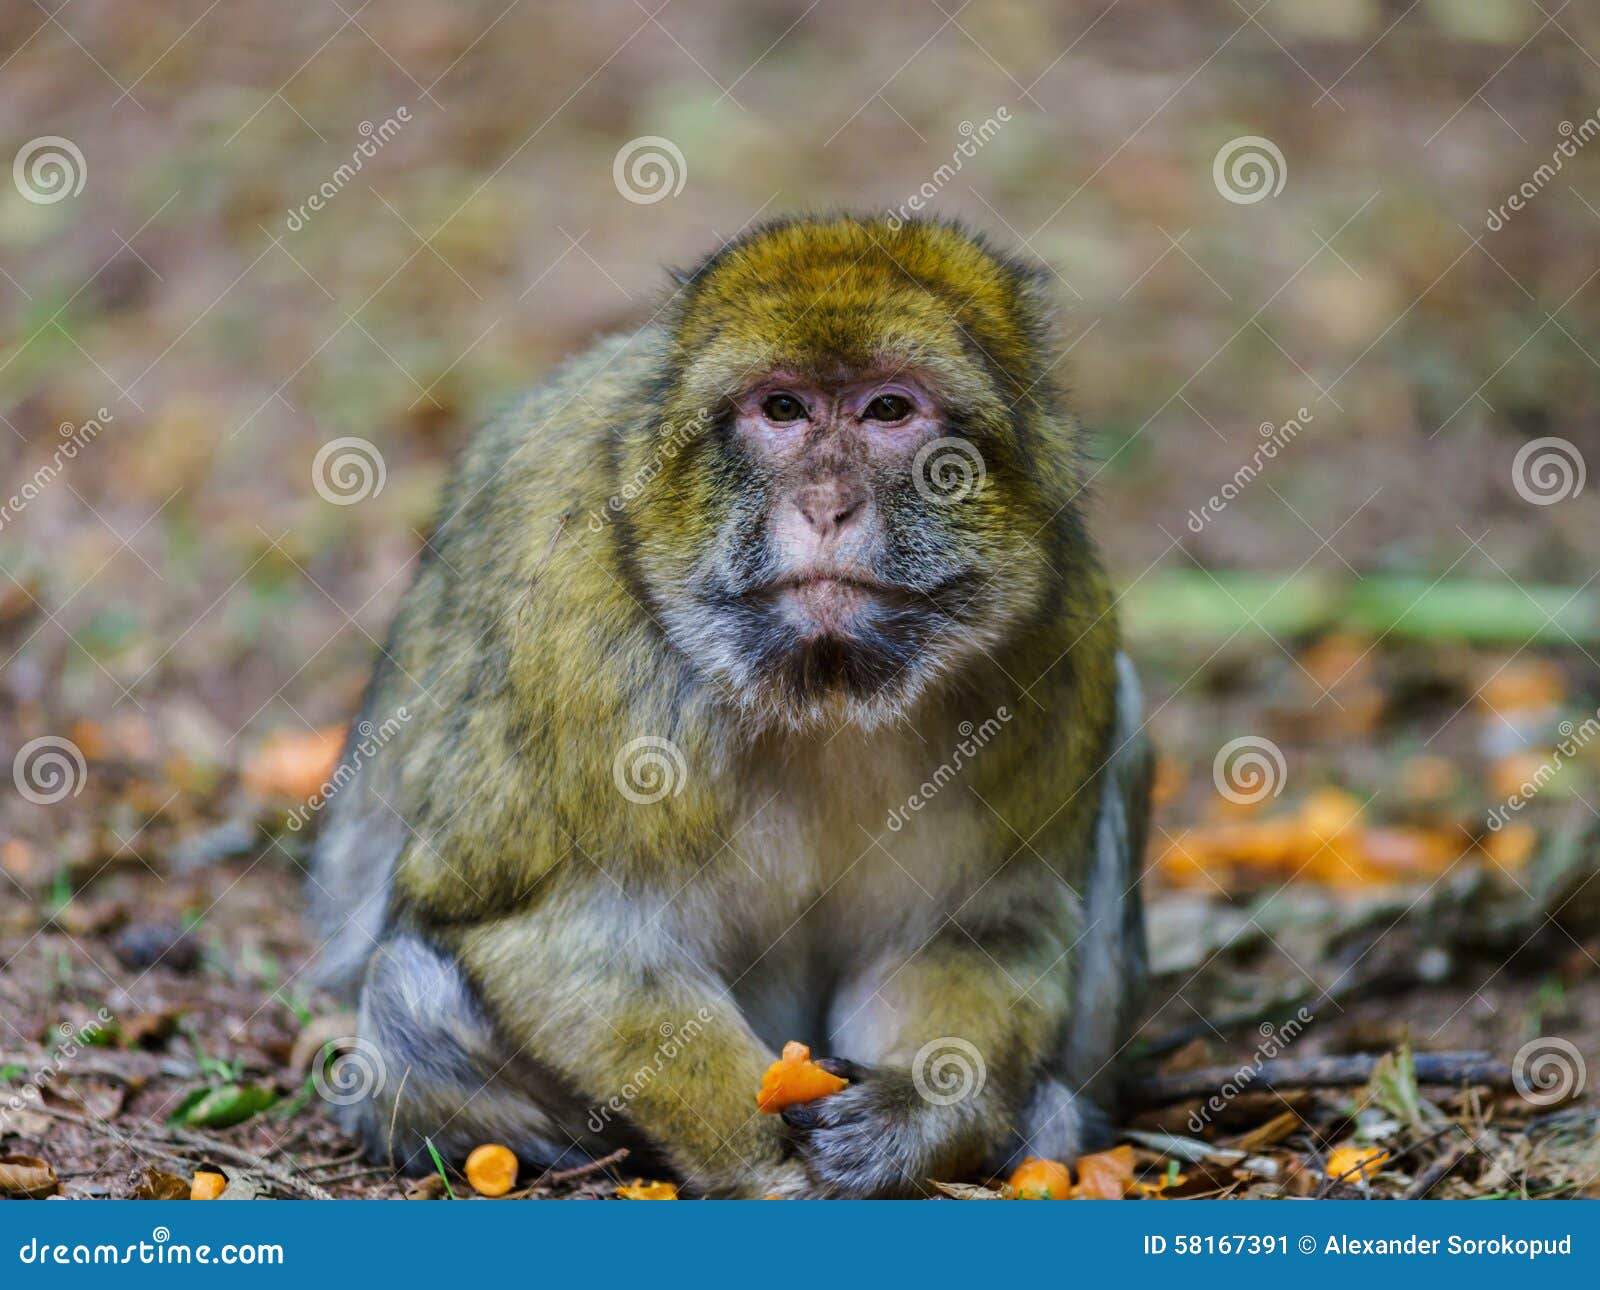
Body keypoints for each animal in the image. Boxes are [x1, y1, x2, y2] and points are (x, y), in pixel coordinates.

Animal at [307, 214, 1151, 1198]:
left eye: (889, 411)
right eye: (782, 410)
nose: (827, 503)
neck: (824, 694)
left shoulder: (1056, 646)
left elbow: (982, 927)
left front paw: (913, 1118)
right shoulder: (579, 641)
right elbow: (542, 928)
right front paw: (762, 1156)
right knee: (409, 995)